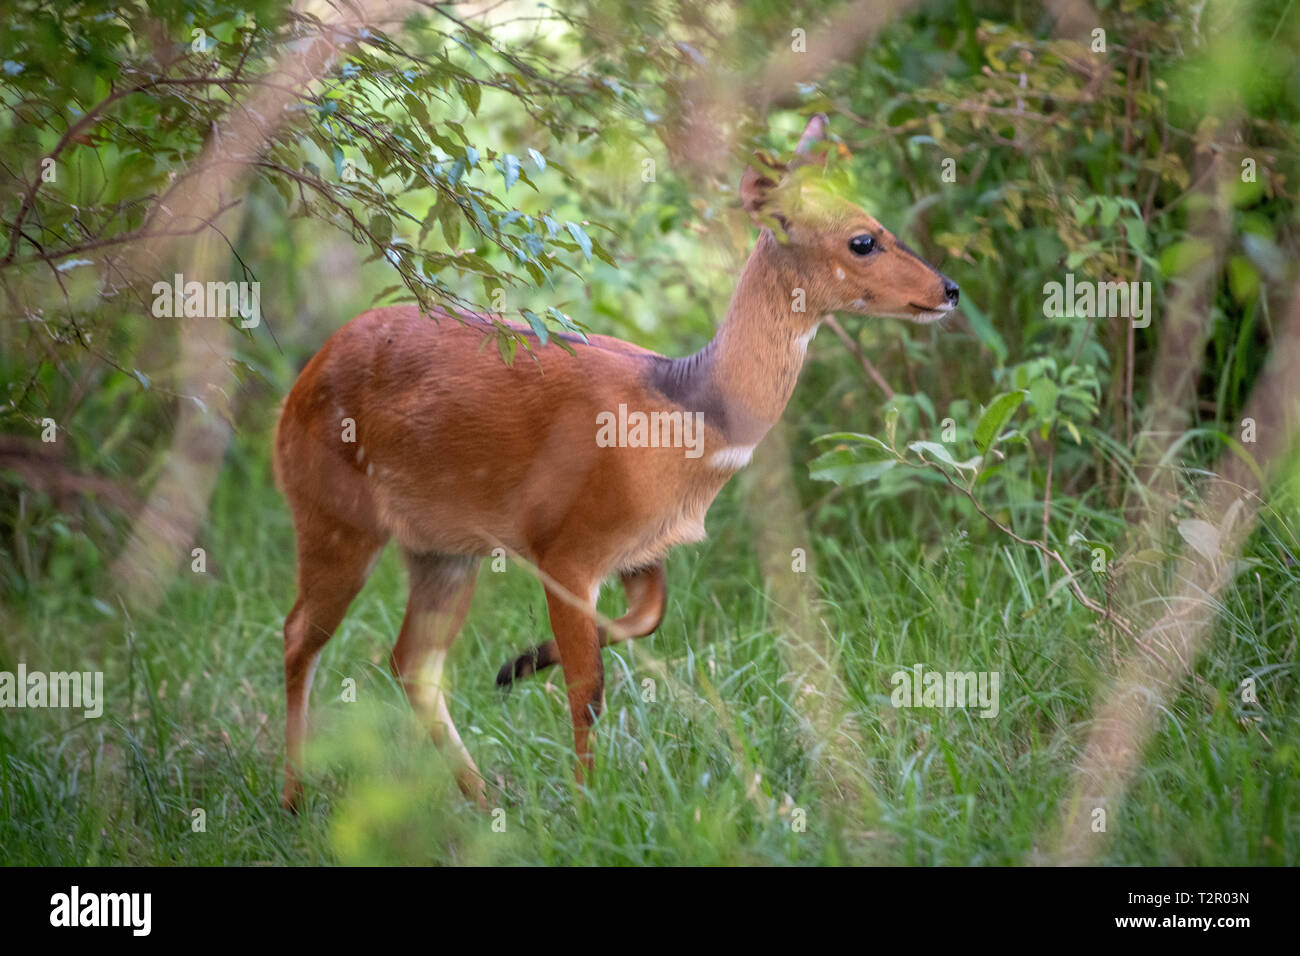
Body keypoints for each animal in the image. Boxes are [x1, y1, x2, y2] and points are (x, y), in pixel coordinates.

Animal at [274, 114, 958, 810]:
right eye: (863, 240)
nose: (949, 289)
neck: (684, 415)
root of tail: (300, 384)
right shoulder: (564, 549)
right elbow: (589, 690)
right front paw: (586, 806)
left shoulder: (640, 552)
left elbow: (645, 622)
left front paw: (520, 664)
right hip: (336, 517)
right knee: (300, 634)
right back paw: (296, 798)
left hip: (441, 547)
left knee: (411, 662)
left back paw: (484, 797)